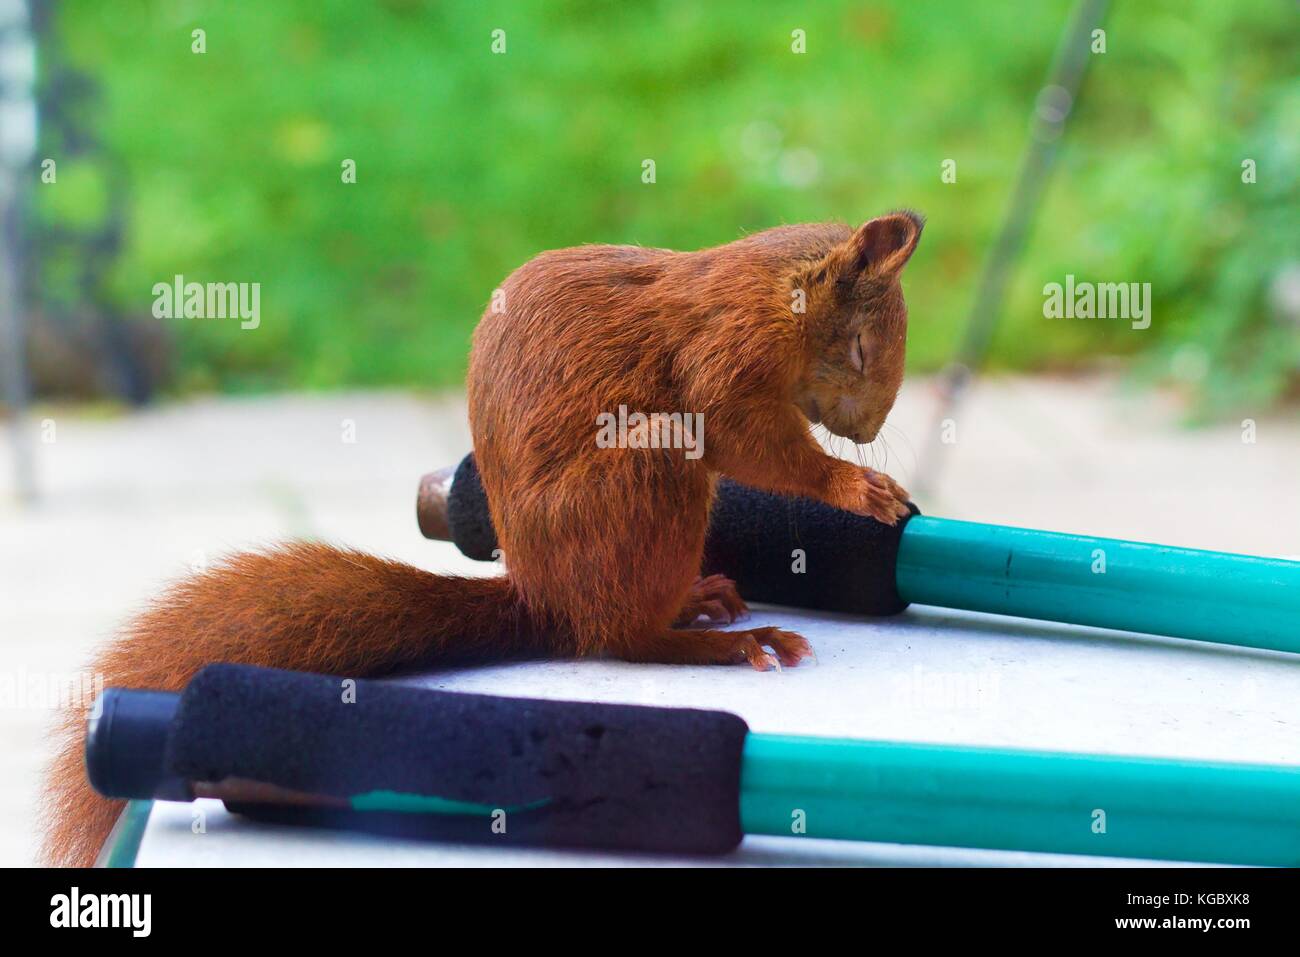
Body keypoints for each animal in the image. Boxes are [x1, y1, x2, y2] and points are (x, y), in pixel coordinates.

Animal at [41, 211, 923, 866]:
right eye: (861, 347)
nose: (868, 430)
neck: (780, 290)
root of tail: (544, 598)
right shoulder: (723, 352)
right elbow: (748, 439)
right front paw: (855, 485)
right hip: (645, 478)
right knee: (617, 635)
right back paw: (715, 642)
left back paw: (699, 602)